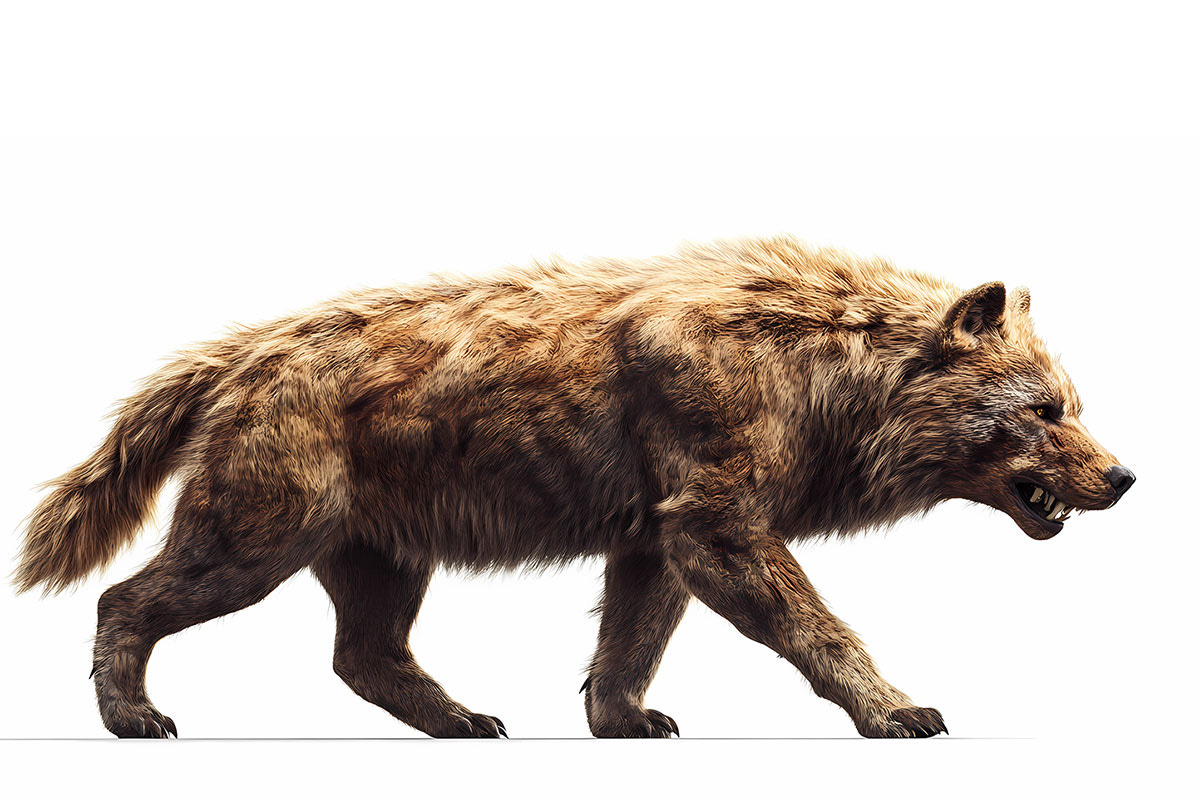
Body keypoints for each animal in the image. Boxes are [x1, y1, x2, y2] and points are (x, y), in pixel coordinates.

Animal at [15, 237, 1134, 739]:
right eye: (1046, 411)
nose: (1125, 474)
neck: (821, 383)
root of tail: (233, 353)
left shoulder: (656, 535)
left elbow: (628, 643)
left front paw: (621, 720)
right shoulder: (716, 521)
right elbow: (820, 626)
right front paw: (895, 711)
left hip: (382, 554)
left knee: (363, 653)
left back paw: (466, 719)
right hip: (257, 539)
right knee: (124, 597)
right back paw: (133, 716)